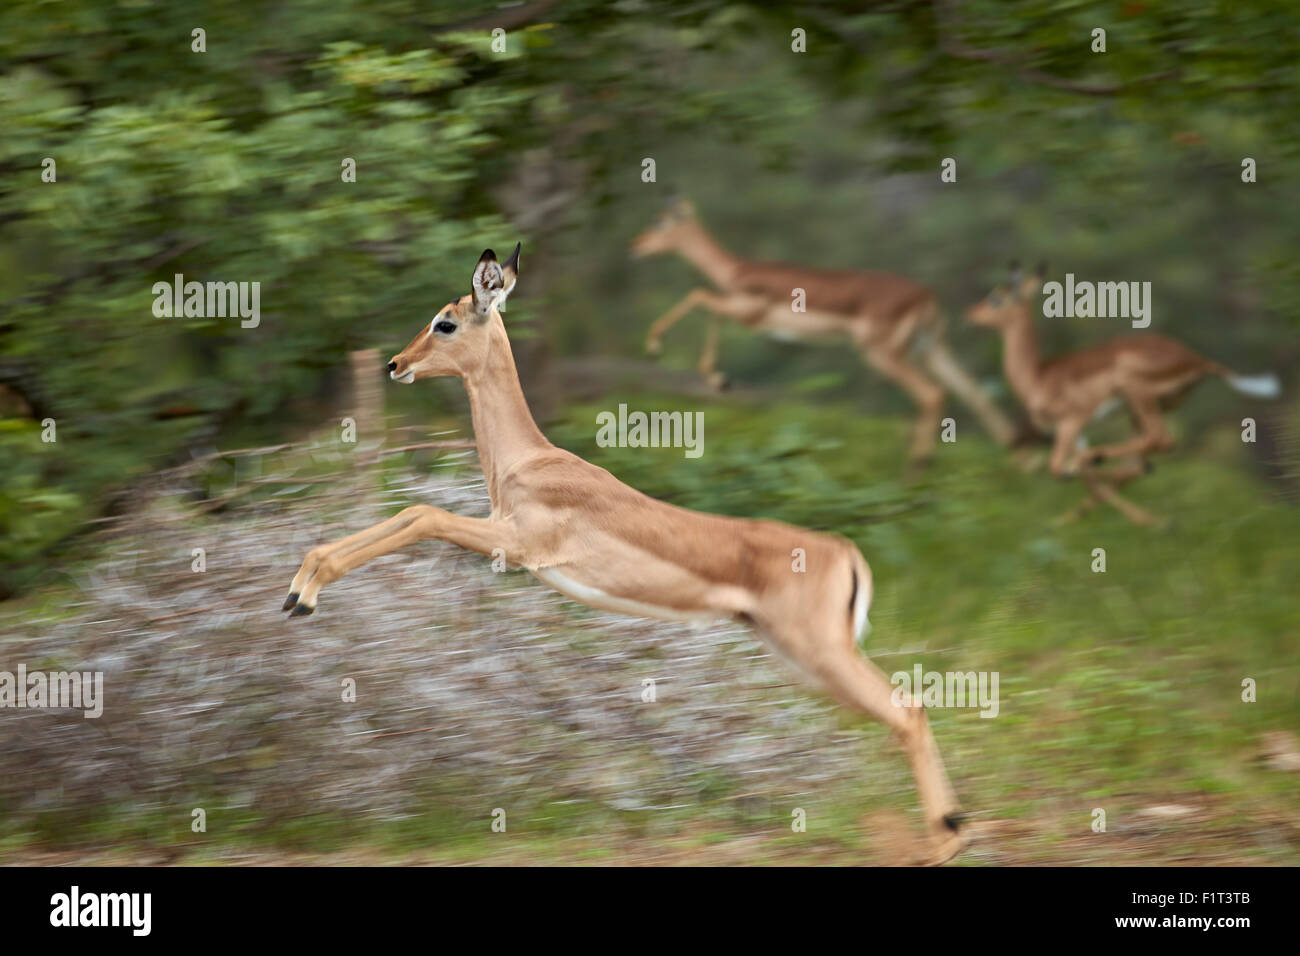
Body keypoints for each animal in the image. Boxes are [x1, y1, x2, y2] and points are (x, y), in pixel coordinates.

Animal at [282, 244, 969, 864]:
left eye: (445, 321)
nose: (395, 363)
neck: (528, 462)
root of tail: (847, 554)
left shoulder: (517, 546)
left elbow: (420, 513)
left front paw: (305, 594)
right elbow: (409, 513)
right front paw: (295, 590)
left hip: (819, 653)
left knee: (909, 710)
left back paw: (942, 843)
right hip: (799, 657)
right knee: (907, 708)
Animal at [630, 198, 1017, 464]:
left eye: (660, 221)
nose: (636, 245)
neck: (736, 271)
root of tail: (927, 296)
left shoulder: (747, 313)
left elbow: (699, 297)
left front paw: (657, 348)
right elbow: (706, 305)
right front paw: (718, 379)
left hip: (883, 354)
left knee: (933, 394)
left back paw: (916, 469)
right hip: (931, 350)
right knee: (977, 397)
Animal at [966, 263, 1281, 524]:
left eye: (996, 298)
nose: (970, 314)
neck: (1037, 376)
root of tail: (1199, 361)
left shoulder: (1071, 422)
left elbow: (1059, 469)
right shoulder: (1076, 431)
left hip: (1137, 396)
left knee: (1158, 442)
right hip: (1140, 411)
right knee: (1139, 459)